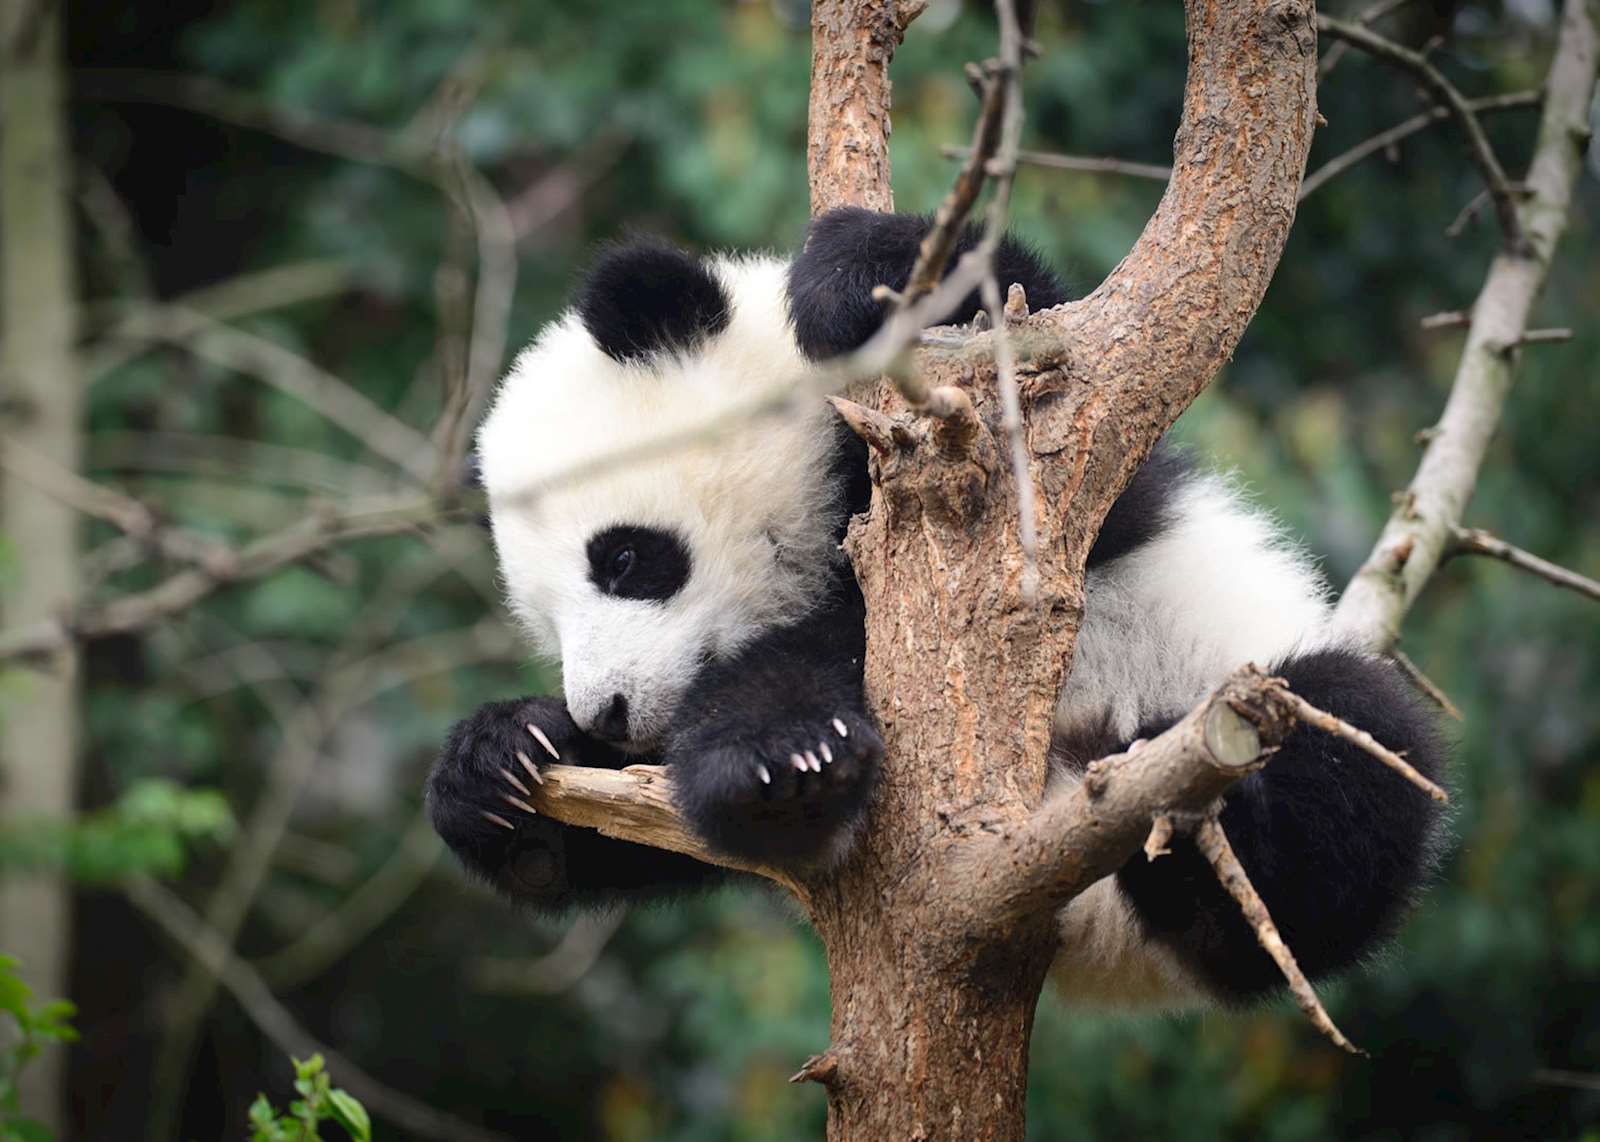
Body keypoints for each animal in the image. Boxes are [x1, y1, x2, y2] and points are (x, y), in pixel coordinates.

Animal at [427, 206, 1446, 1007]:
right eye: (544, 620)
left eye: (626, 558)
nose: (607, 711)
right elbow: (648, 825)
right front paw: (508, 761)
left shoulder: (1043, 494)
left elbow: (1043, 367)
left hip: (1239, 675)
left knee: (1352, 751)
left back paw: (1215, 816)